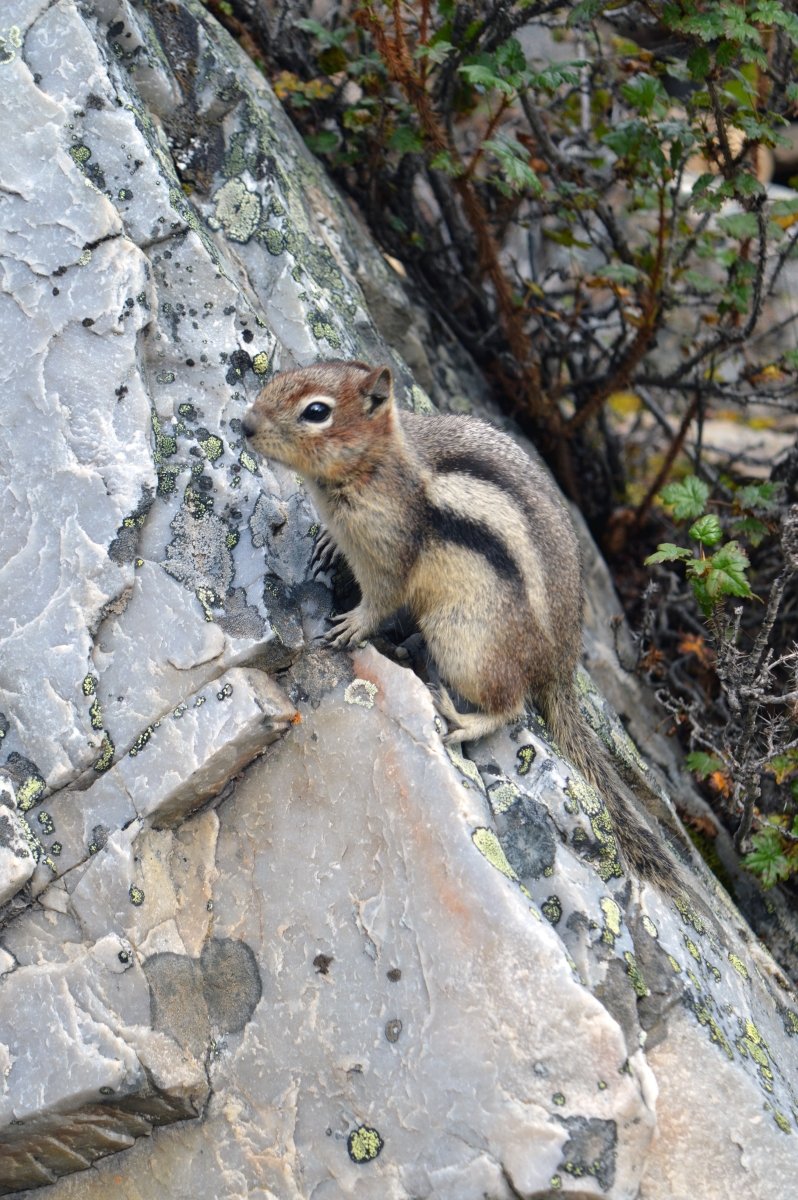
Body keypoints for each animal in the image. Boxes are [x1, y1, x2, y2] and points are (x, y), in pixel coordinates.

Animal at [241, 360, 677, 887]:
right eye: (280, 378)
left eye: (316, 412)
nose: (244, 425)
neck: (379, 462)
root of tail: (561, 663)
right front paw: (326, 541)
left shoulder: (390, 553)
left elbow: (382, 600)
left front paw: (353, 625)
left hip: (464, 641)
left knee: (511, 707)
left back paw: (461, 720)